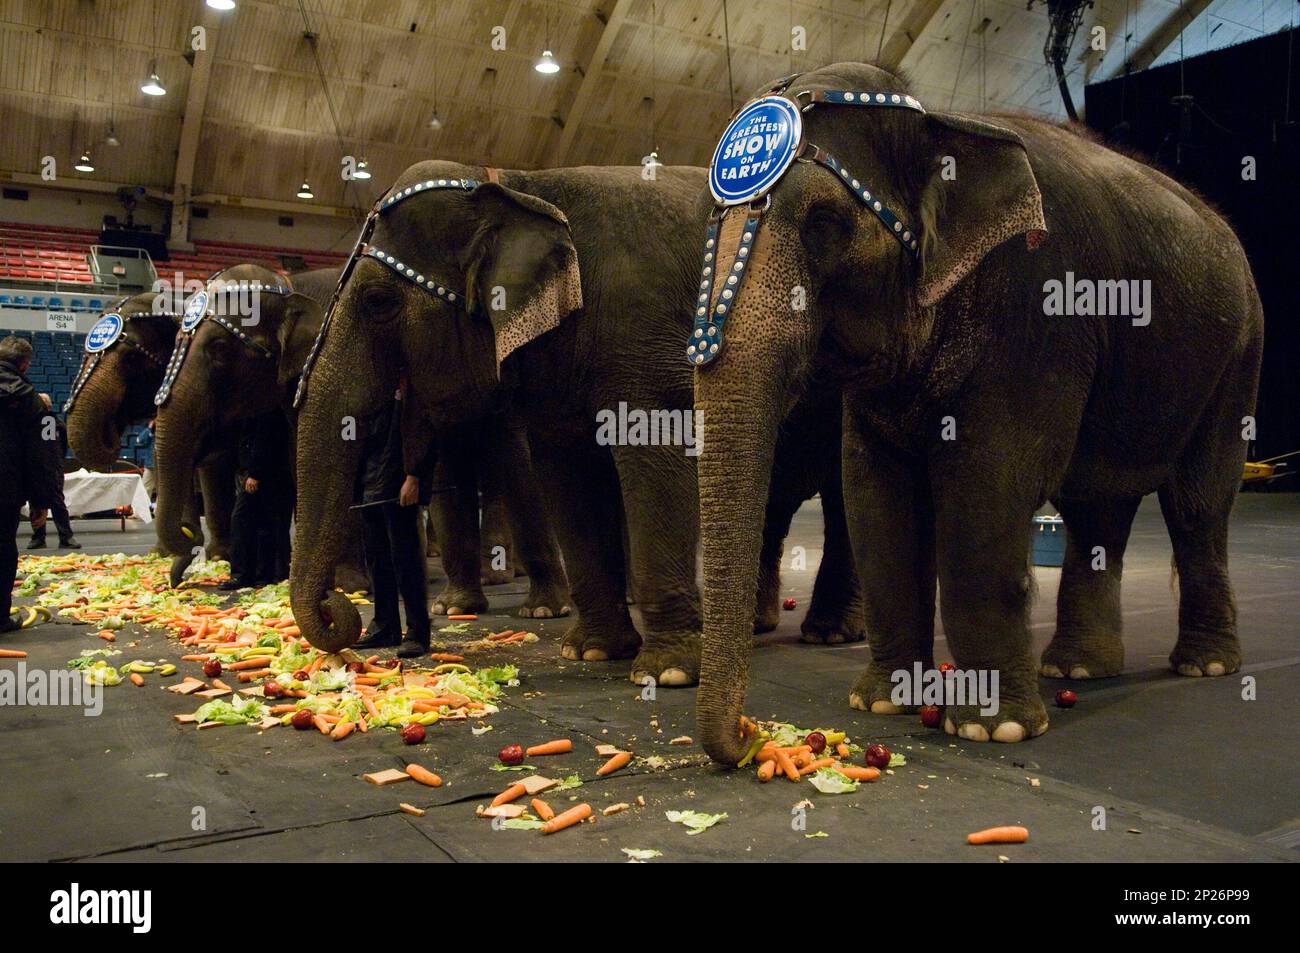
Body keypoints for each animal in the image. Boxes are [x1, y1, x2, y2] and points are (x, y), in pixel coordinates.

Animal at [289, 159, 864, 680]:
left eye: (377, 301)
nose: (340, 612)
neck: (520, 185)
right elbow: (566, 474)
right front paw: (592, 652)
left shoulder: (644, 336)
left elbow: (654, 466)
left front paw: (668, 673)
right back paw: (758, 627)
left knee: (842, 496)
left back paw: (830, 633)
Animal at [689, 63, 1263, 763]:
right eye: (713, 220)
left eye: (824, 222)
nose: (750, 735)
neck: (937, 119)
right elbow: (875, 493)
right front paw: (881, 703)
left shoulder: (1038, 309)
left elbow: (985, 484)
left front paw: (995, 729)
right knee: (1098, 506)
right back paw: (1077, 670)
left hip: (1238, 357)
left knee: (1198, 502)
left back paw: (1206, 666)